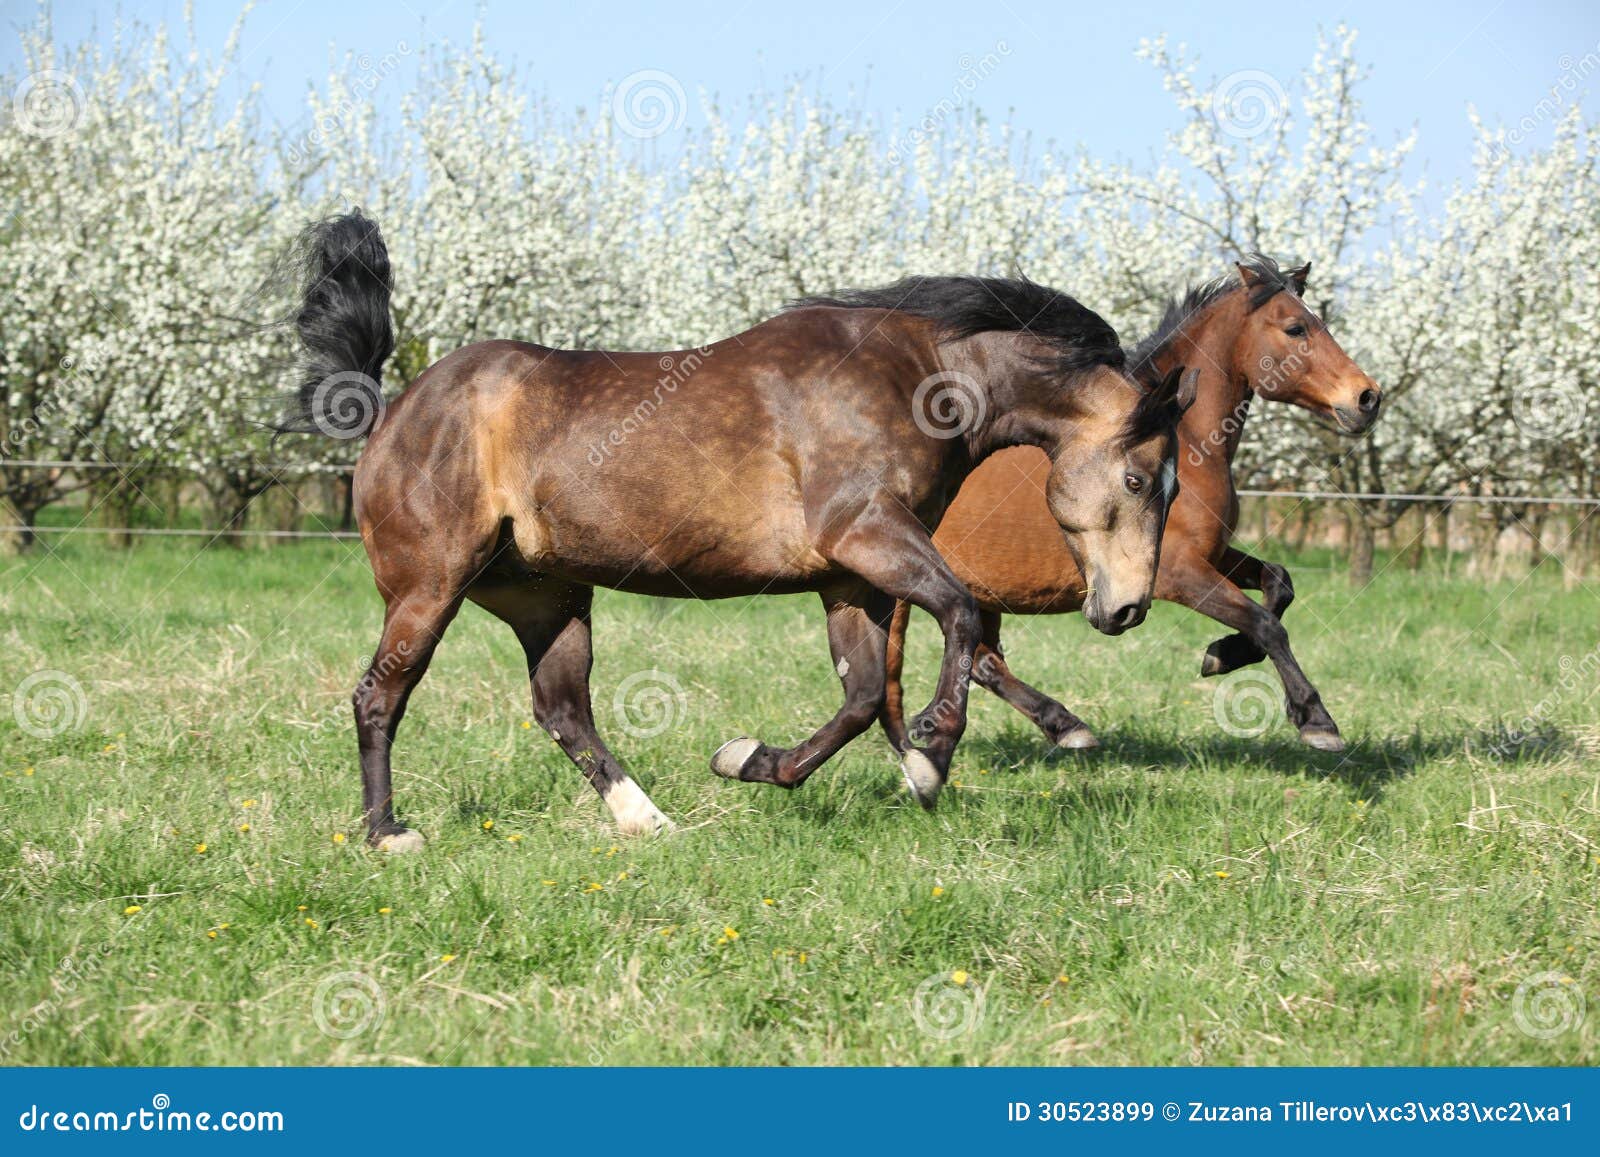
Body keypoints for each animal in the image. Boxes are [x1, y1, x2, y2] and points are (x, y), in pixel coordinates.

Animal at [278, 212, 1194, 849]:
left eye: (1174, 484)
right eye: (1139, 479)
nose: (1126, 608)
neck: (919, 377)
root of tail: (389, 408)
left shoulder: (852, 577)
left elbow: (865, 695)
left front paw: (755, 760)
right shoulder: (869, 536)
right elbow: (960, 617)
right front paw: (932, 756)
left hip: (547, 597)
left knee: (562, 709)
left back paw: (647, 821)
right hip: (430, 586)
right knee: (380, 696)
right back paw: (389, 833)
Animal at [881, 256, 1382, 756]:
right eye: (1296, 328)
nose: (1368, 398)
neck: (1190, 443)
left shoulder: (1213, 556)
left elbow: (1279, 584)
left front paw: (1220, 656)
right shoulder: (1177, 572)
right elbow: (1266, 624)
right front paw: (1316, 721)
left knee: (985, 662)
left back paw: (1056, 725)